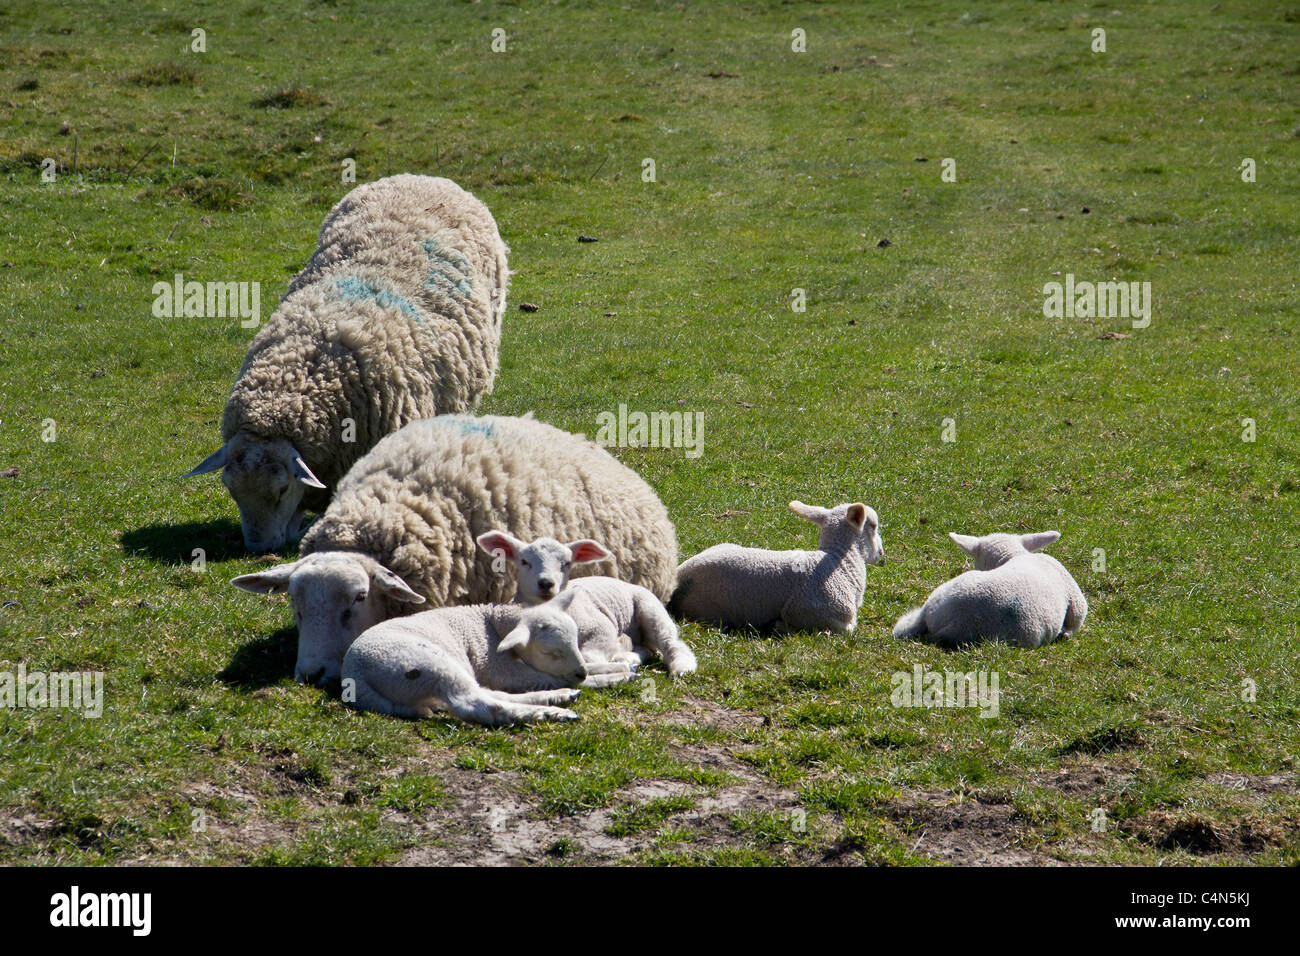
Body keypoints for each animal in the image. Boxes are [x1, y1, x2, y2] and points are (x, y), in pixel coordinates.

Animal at [342, 603, 630, 725]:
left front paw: (616, 670)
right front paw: (610, 676)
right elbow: (549, 676)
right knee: (476, 703)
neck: (491, 621)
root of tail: (355, 678)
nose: (580, 672)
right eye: (552, 652)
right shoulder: (495, 664)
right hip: (426, 663)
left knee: (489, 694)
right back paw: (550, 712)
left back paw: (558, 698)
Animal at [476, 531, 698, 677]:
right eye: (524, 561)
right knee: (650, 648)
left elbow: (589, 657)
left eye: (566, 563)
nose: (546, 583)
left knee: (670, 642)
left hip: (650, 609)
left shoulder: (601, 627)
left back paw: (682, 666)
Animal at [670, 500, 884, 634]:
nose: (881, 554)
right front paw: (780, 626)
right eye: (873, 526)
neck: (839, 561)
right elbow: (849, 628)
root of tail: (680, 574)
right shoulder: (812, 610)